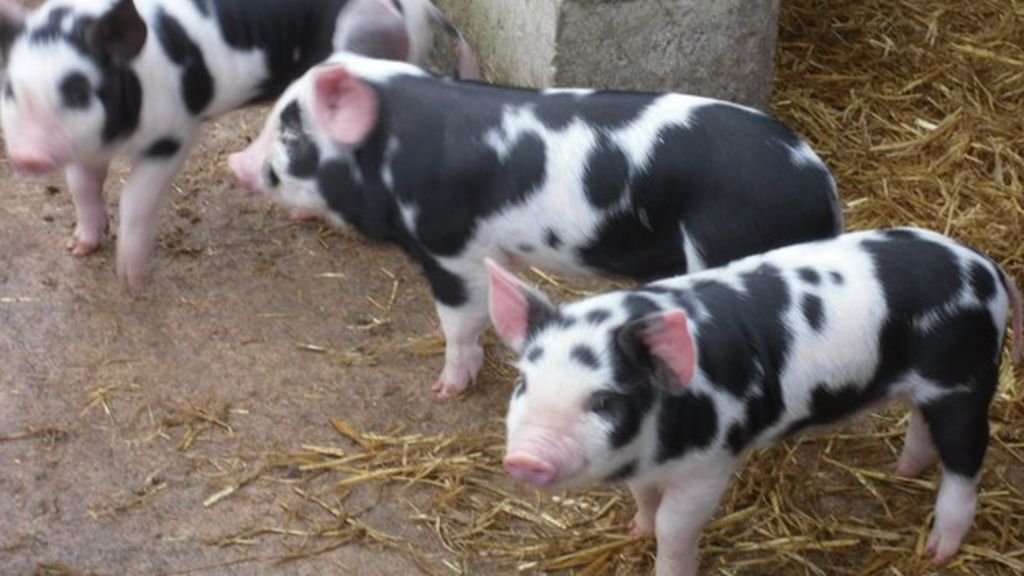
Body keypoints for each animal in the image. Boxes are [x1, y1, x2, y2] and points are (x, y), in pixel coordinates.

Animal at [0, 0, 476, 292]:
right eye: (11, 88)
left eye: (79, 90)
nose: (26, 155)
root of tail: (415, 11)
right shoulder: (82, 146)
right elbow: (82, 187)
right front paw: (78, 247)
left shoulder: (174, 135)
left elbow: (135, 198)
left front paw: (130, 281)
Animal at [229, 52, 843, 399]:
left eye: (290, 132)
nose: (234, 163)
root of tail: (819, 184)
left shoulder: (450, 250)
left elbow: (459, 323)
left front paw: (446, 390)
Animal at [487, 227, 1023, 576]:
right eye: (523, 383)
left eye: (603, 399)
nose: (525, 459)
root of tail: (986, 268)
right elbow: (643, 500)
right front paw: (636, 529)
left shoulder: (709, 465)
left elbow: (674, 528)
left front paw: (663, 555)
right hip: (932, 386)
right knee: (920, 423)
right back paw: (903, 472)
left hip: (963, 380)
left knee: (966, 460)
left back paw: (938, 552)